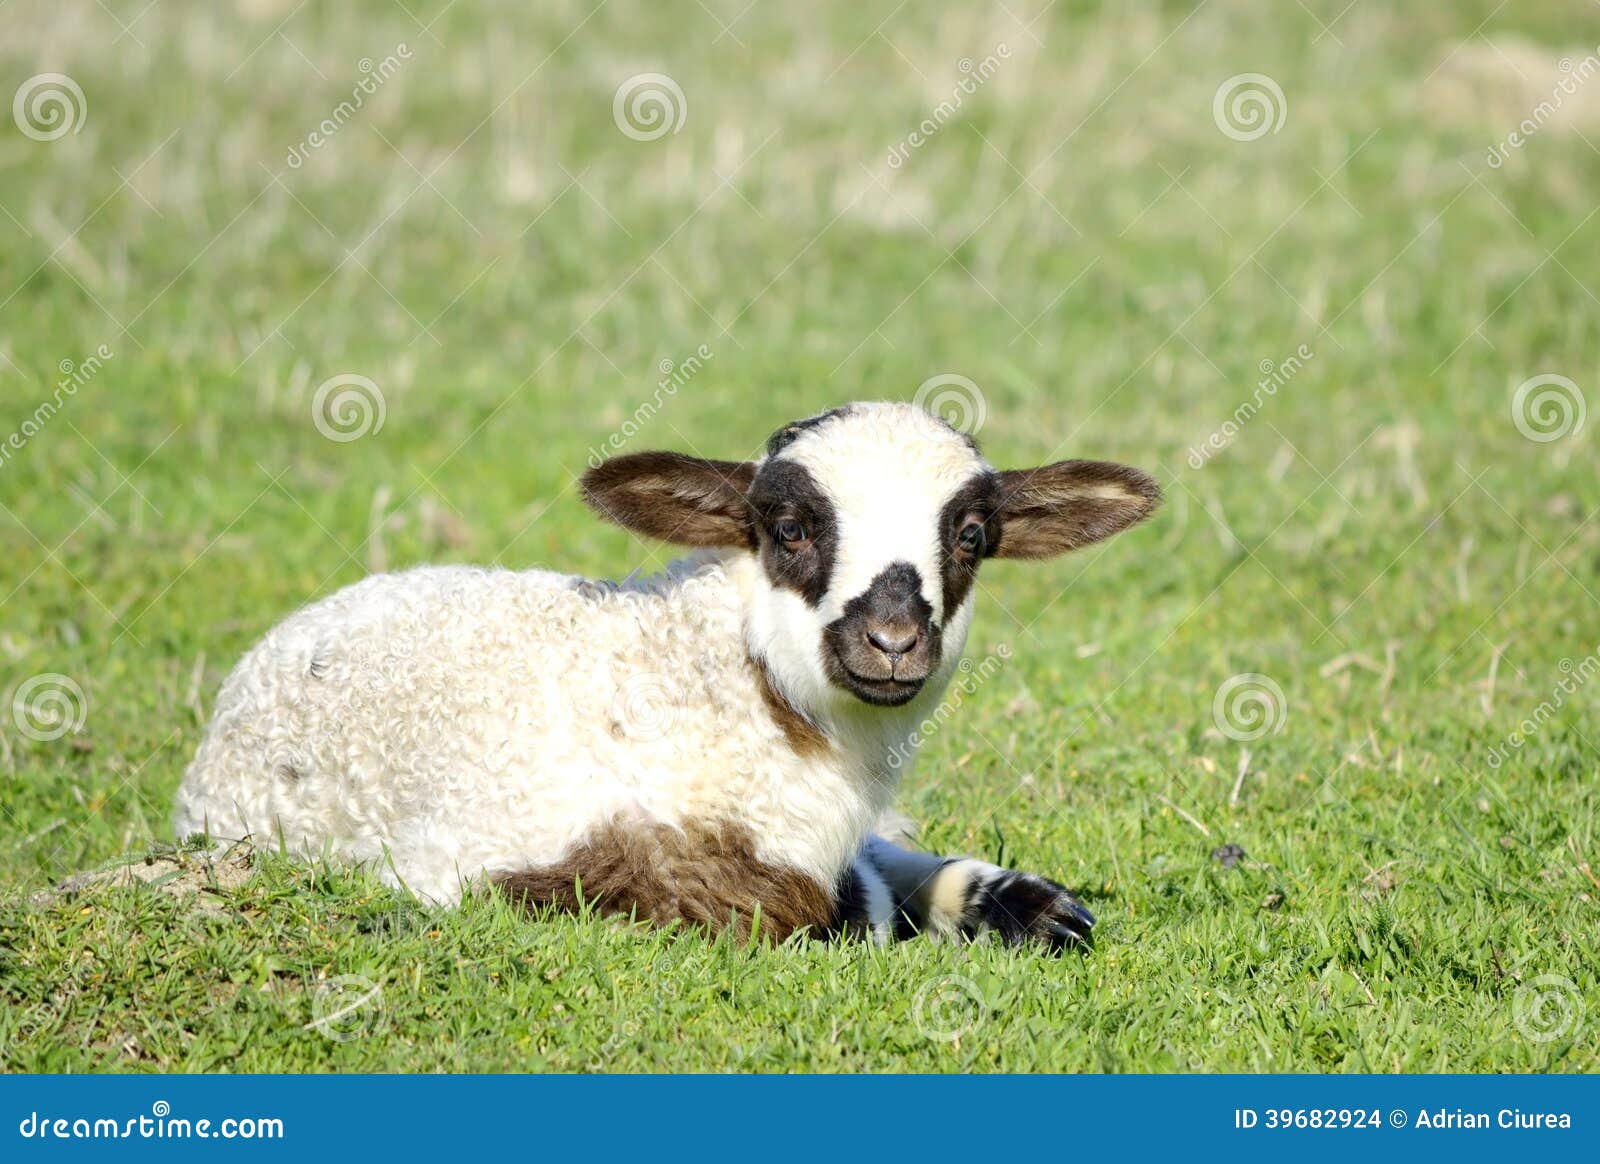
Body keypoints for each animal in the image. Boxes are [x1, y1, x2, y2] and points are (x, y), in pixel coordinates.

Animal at [174, 401, 1159, 947]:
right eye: (788, 528)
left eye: (971, 537)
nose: (891, 639)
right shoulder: (496, 861)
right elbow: (809, 908)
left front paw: (1021, 905)